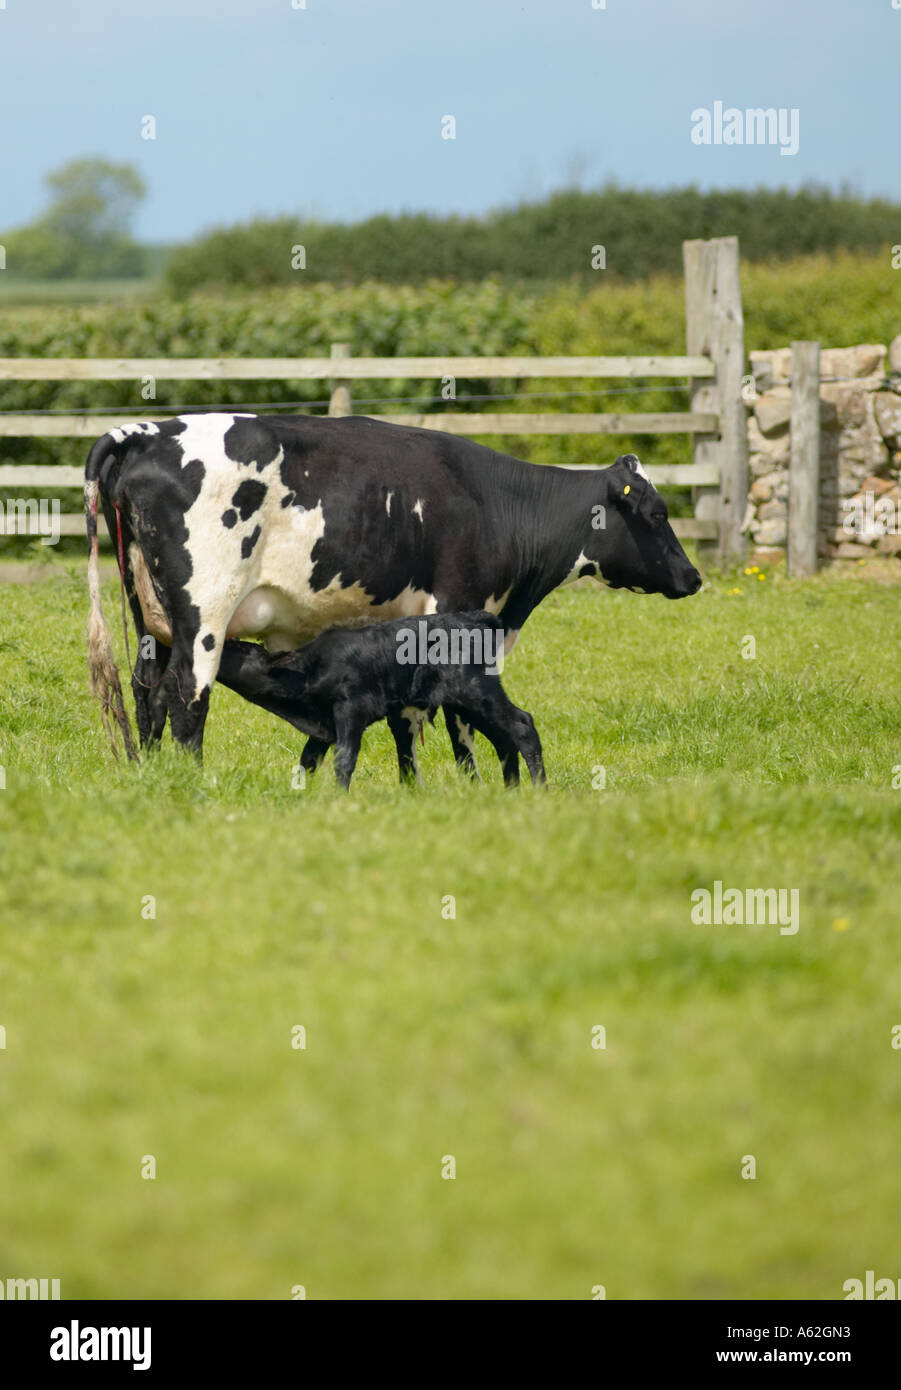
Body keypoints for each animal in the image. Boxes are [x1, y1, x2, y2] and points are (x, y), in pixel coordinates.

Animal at [84, 412, 701, 767]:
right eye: (656, 512)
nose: (694, 577)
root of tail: (143, 432)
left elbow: (410, 719)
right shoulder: (456, 616)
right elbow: (458, 722)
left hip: (150, 618)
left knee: (148, 695)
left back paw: (153, 777)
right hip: (204, 614)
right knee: (187, 695)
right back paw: (191, 781)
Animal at [215, 612, 545, 789]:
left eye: (242, 649)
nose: (224, 641)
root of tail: (472, 617)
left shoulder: (351, 707)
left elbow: (344, 758)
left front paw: (339, 798)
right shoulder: (324, 726)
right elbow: (307, 761)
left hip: (476, 691)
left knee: (522, 725)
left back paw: (539, 789)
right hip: (466, 702)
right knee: (503, 739)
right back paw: (511, 791)